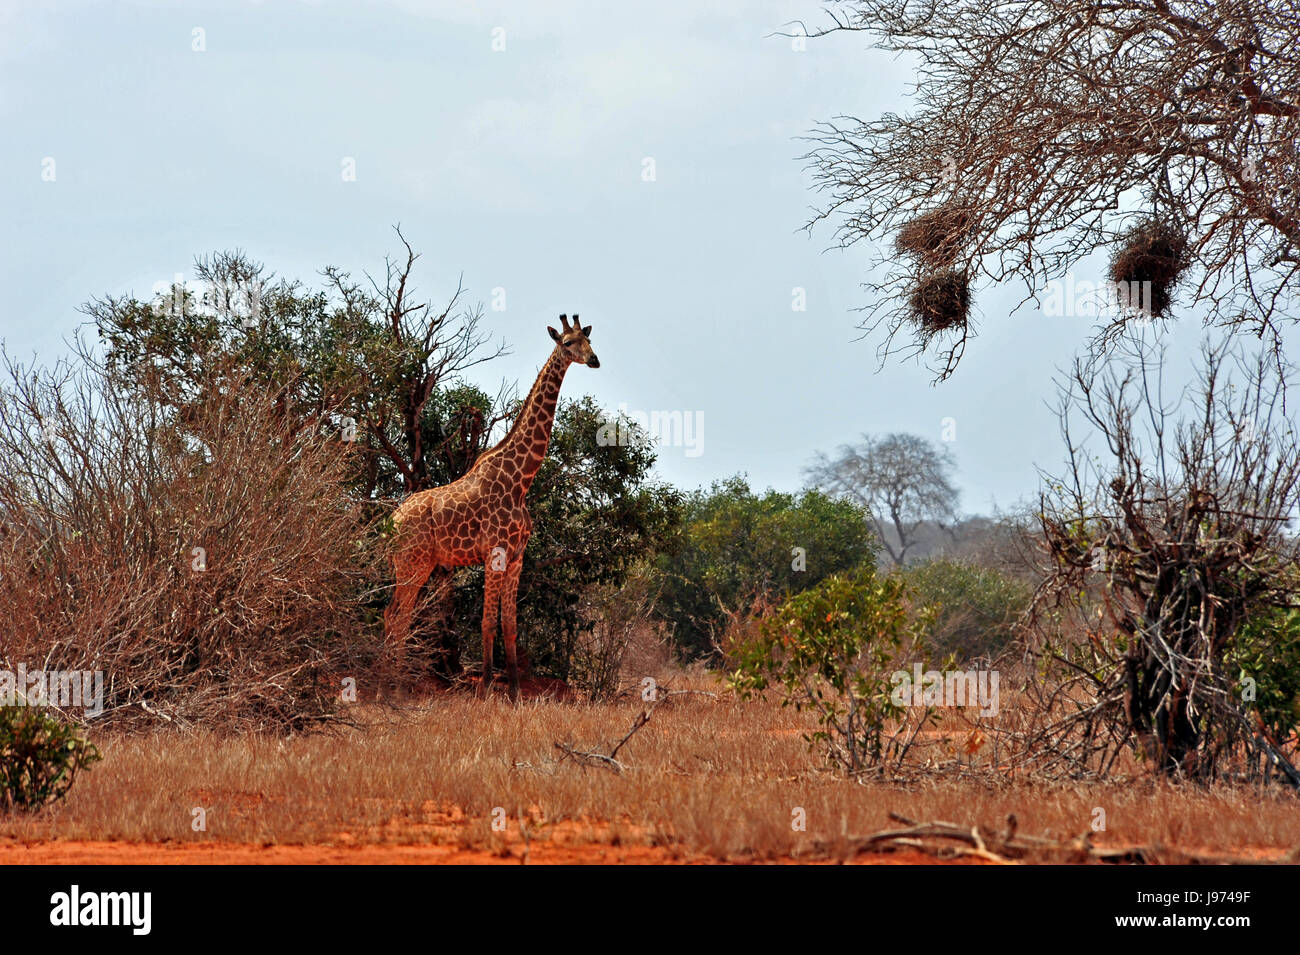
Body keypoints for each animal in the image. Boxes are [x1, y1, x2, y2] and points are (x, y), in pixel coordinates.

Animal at [383, 314, 600, 702]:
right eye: (567, 343)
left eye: (590, 340)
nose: (594, 360)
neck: (522, 479)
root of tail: (390, 522)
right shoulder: (494, 553)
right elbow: (487, 623)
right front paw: (485, 688)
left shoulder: (517, 558)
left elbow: (510, 626)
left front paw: (514, 692)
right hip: (412, 563)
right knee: (395, 616)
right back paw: (388, 686)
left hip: (415, 564)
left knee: (395, 616)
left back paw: (392, 682)